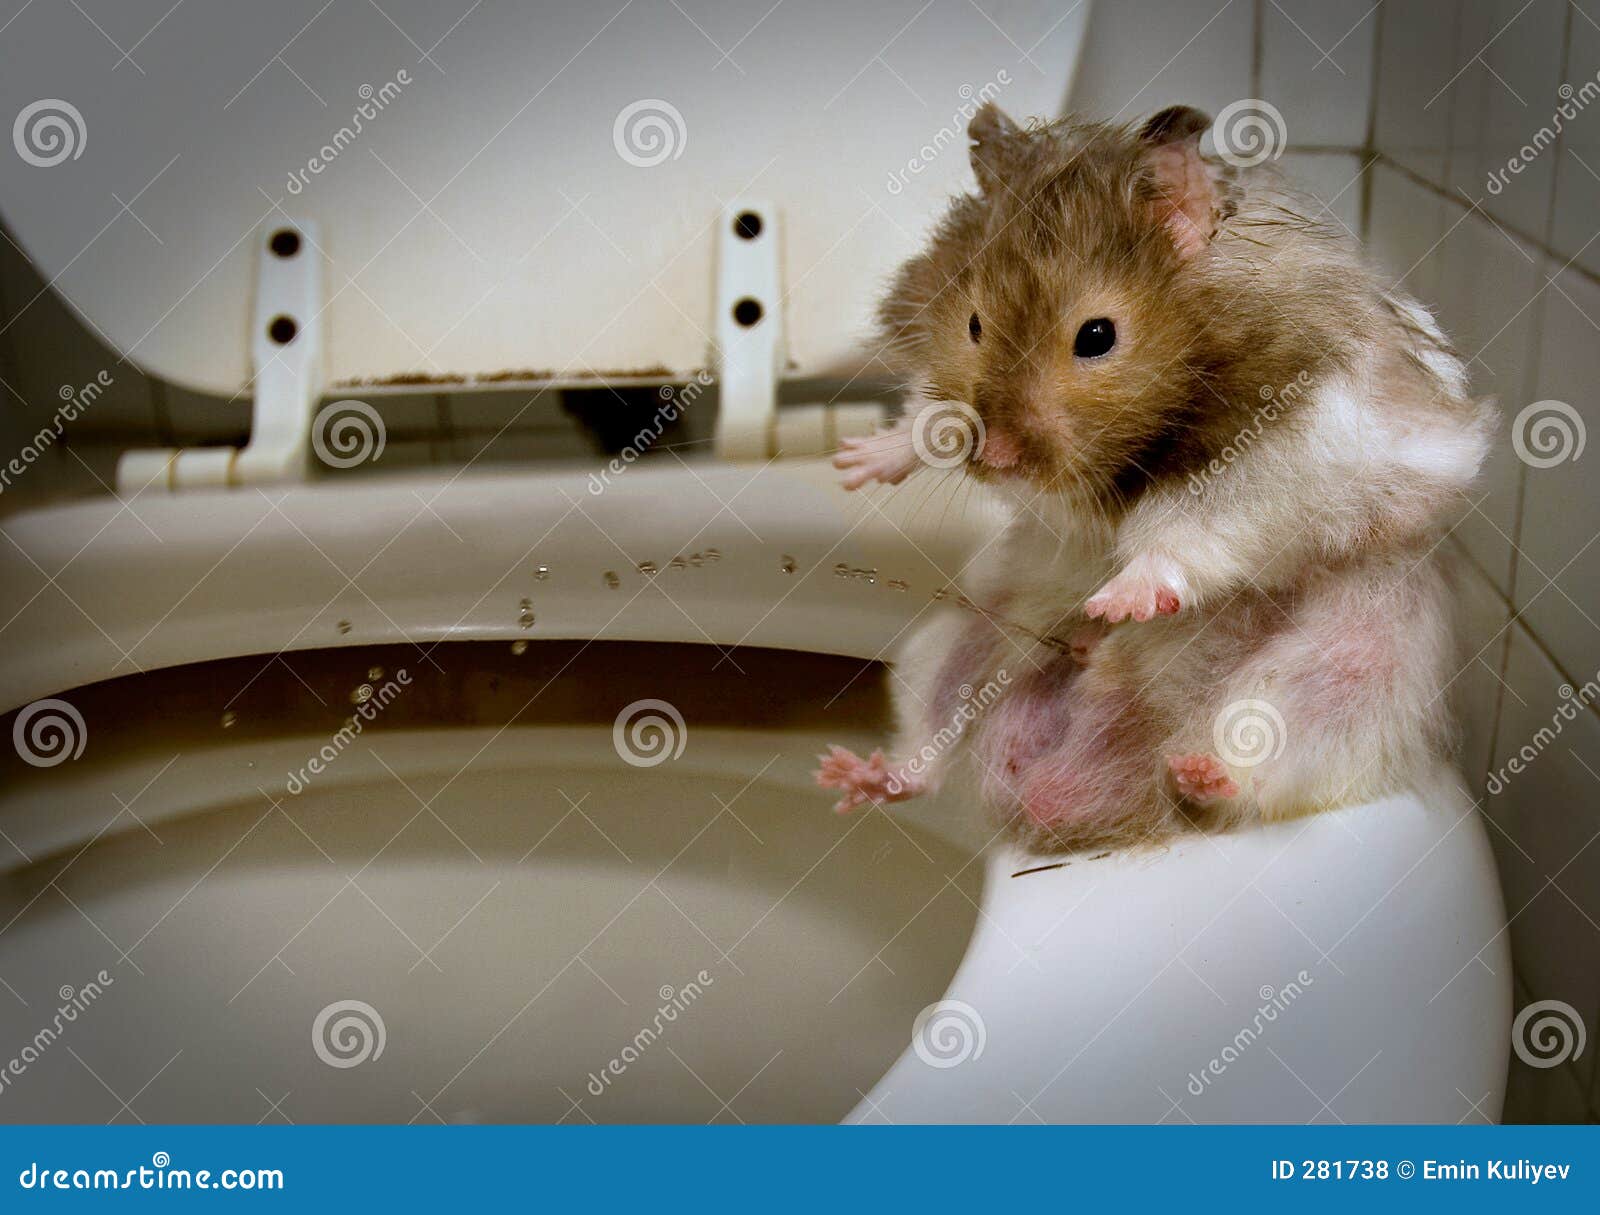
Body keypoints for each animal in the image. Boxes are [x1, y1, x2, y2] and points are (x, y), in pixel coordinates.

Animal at [817, 103, 1494, 855]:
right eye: (972, 324)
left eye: (1097, 336)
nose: (998, 457)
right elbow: (928, 416)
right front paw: (856, 462)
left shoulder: (1296, 450)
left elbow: (1194, 527)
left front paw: (1119, 600)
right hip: (956, 644)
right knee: (934, 740)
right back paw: (854, 775)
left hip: (1357, 668)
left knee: (1262, 753)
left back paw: (1190, 755)